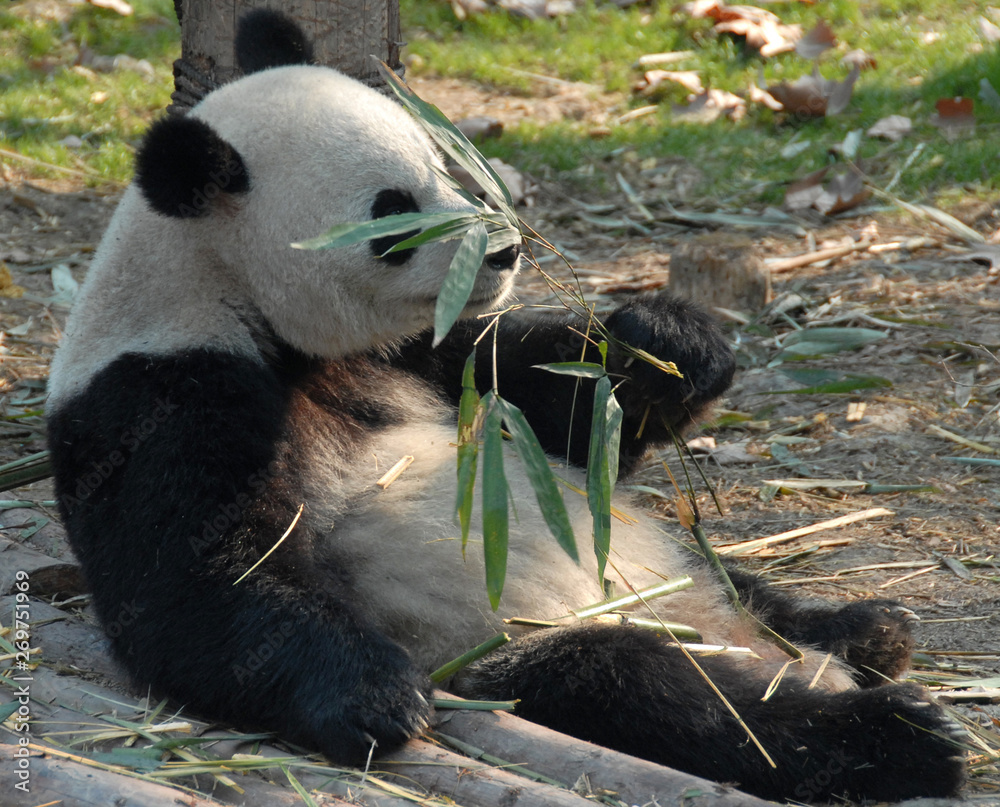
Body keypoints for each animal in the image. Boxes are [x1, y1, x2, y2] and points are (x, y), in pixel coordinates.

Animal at [46, 10, 965, 803]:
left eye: (444, 162)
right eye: (394, 212)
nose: (504, 250)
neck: (224, 291)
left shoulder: (419, 354)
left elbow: (550, 403)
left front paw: (672, 344)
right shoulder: (163, 393)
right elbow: (195, 582)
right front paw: (375, 694)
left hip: (672, 565)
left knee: (744, 591)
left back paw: (867, 627)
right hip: (520, 640)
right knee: (659, 689)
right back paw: (892, 730)